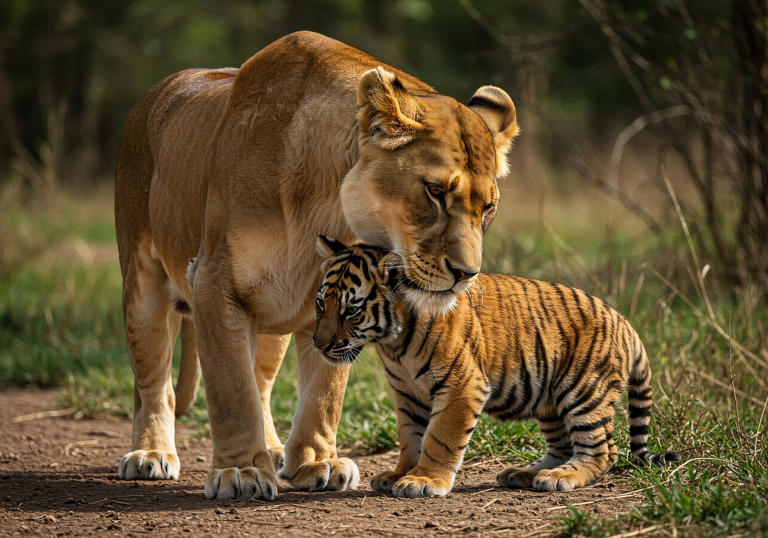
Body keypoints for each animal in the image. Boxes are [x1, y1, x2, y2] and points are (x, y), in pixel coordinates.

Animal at [114, 31, 519, 500]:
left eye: (488, 208)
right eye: (435, 192)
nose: (466, 274)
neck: (328, 205)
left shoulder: (331, 301)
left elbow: (325, 390)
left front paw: (315, 462)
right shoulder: (214, 282)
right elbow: (232, 391)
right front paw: (240, 472)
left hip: (270, 322)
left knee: (262, 382)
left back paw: (272, 451)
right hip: (143, 284)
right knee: (153, 382)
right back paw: (150, 454)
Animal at [312, 236, 680, 497]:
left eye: (351, 310)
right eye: (320, 304)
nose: (318, 344)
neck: (393, 343)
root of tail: (625, 322)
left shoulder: (462, 386)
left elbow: (439, 438)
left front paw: (424, 480)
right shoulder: (408, 393)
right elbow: (410, 436)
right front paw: (401, 473)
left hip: (584, 391)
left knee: (603, 450)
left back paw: (560, 477)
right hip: (550, 400)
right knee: (562, 445)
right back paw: (526, 473)